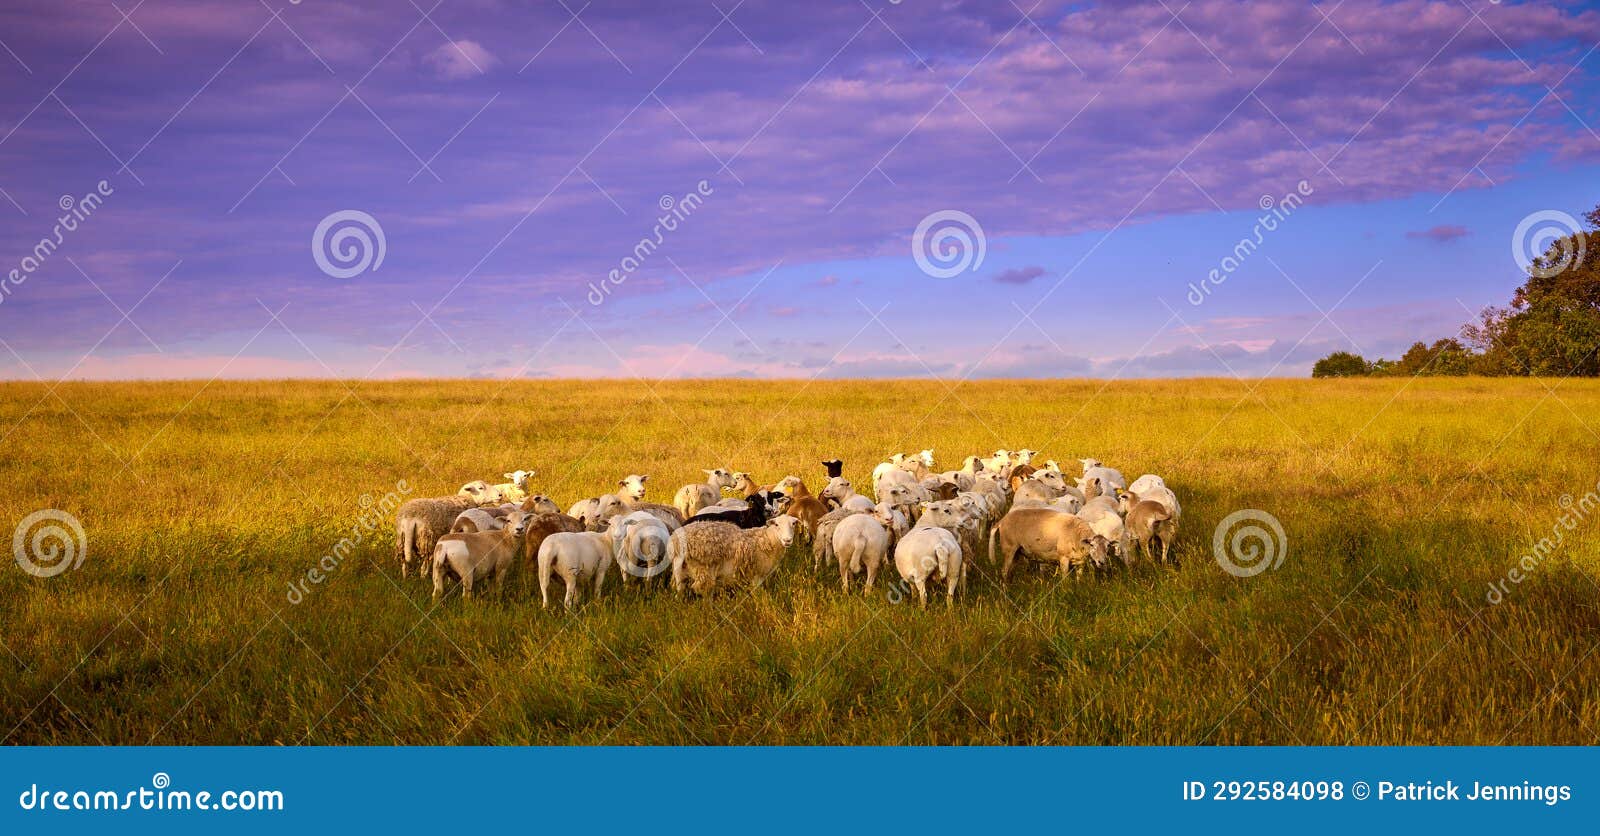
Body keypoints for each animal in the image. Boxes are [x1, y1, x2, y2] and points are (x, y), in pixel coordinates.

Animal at [670, 516, 799, 596]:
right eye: (777, 524)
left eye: (793, 524)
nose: (787, 540)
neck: (767, 540)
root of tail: (676, 542)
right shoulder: (757, 575)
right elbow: (756, 592)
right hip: (703, 569)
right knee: (701, 590)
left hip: (682, 571)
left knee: (681, 590)